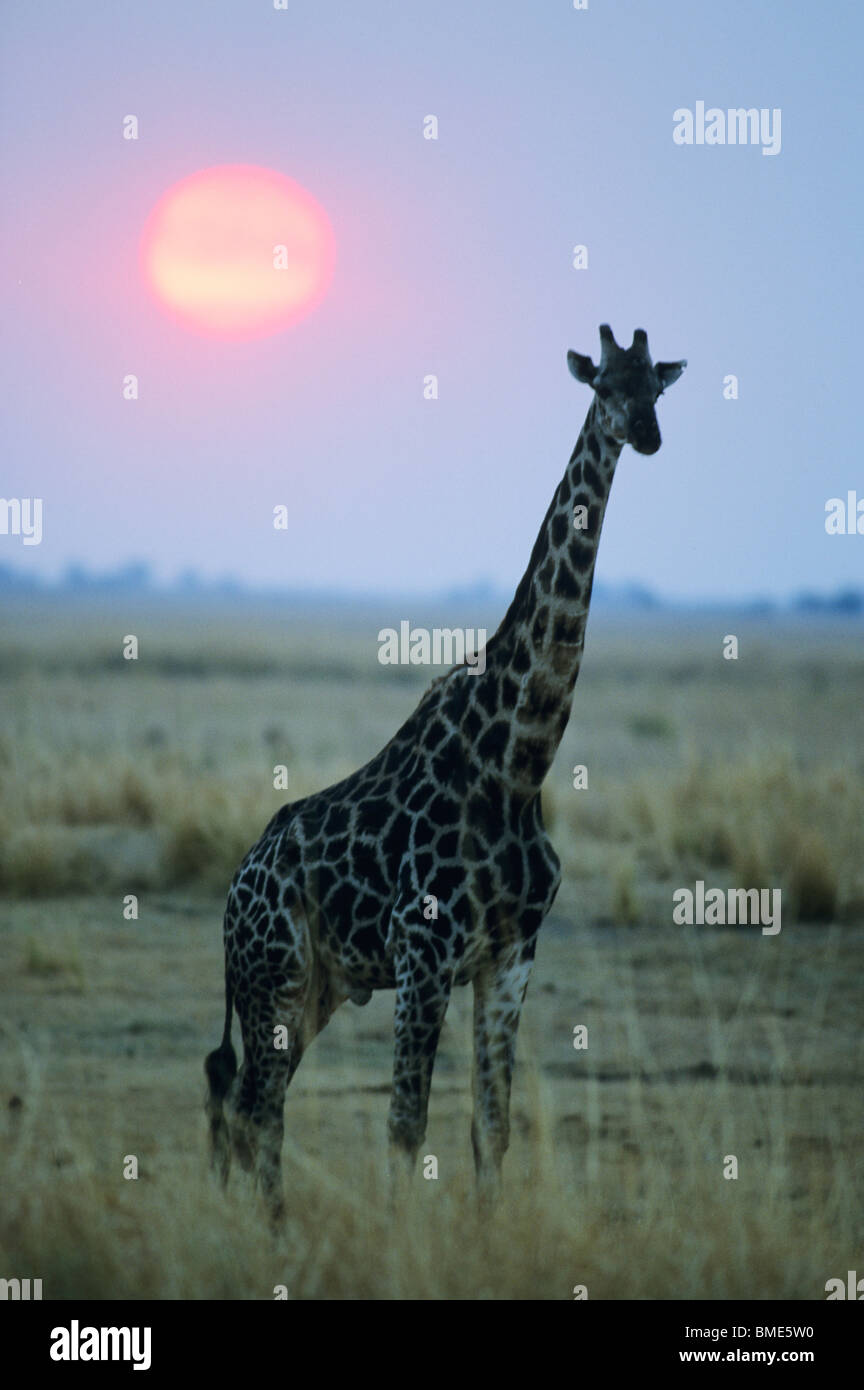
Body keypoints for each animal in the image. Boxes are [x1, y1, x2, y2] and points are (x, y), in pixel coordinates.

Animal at [205, 324, 686, 1221]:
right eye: (604, 383)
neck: (519, 762)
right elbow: (405, 1124)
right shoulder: (423, 952)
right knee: (251, 1102)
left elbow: (488, 1127)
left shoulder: (511, 953)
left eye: (657, 388)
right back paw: (261, 1232)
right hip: (272, 975)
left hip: (316, 985)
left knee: (252, 1099)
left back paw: (262, 1229)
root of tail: (233, 892)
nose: (645, 434)